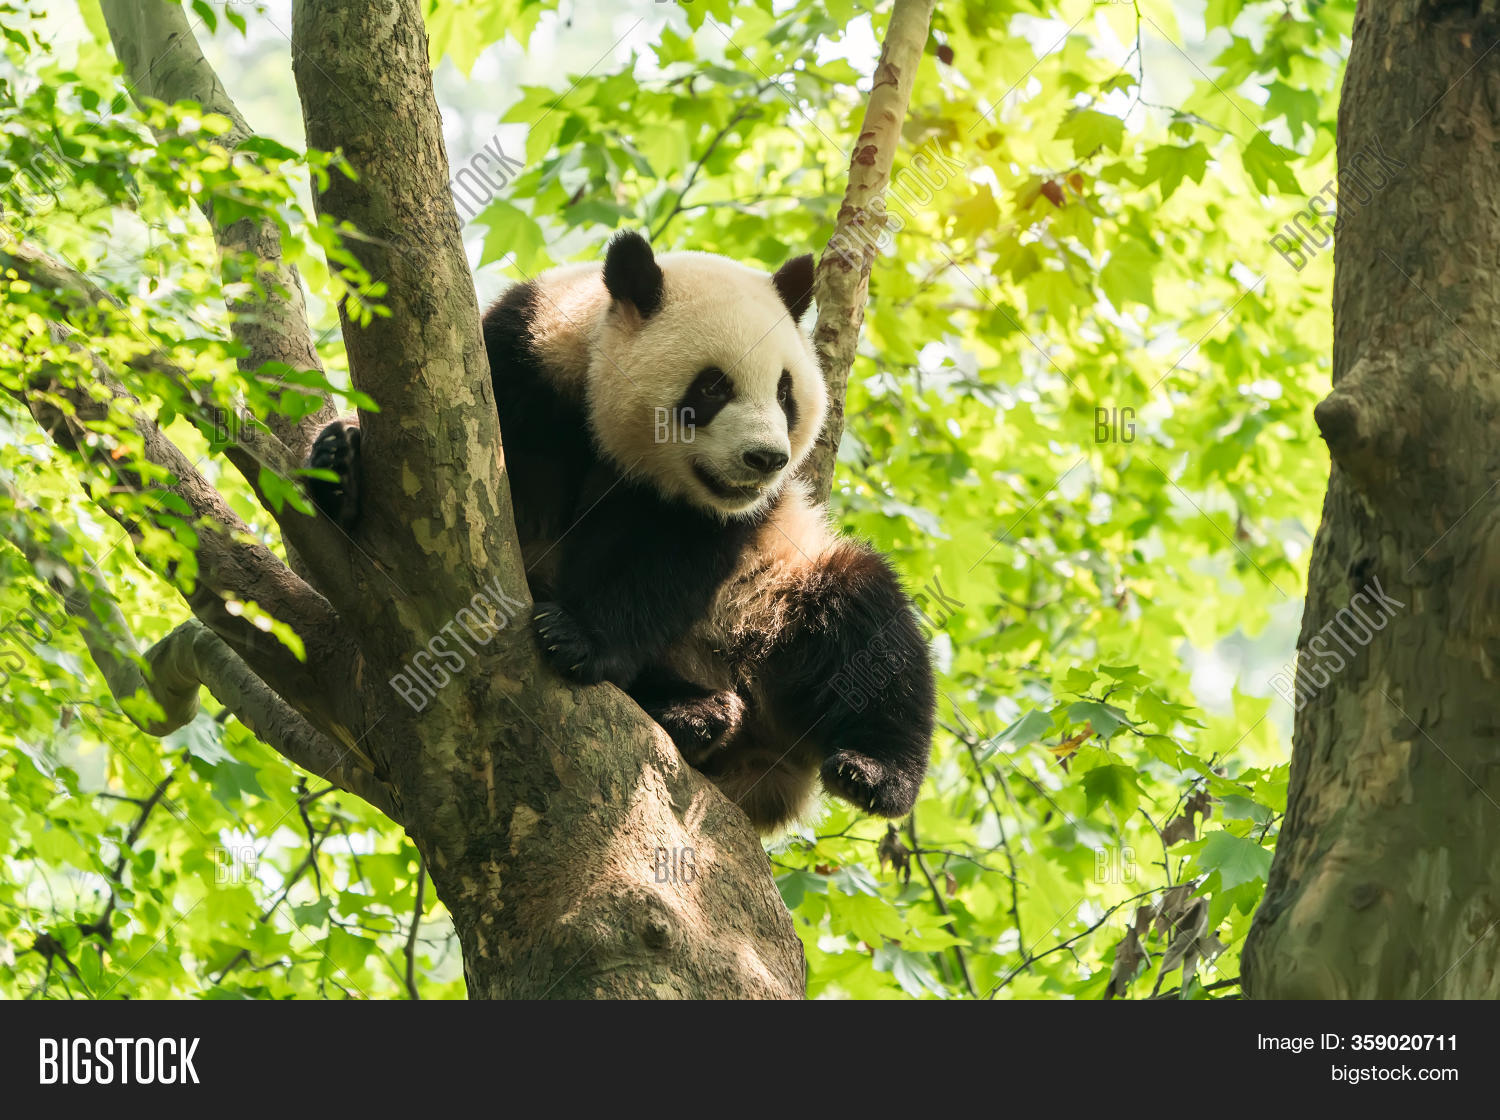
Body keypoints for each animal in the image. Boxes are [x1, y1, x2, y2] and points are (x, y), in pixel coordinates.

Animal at [308, 231, 935, 832]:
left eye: (785, 392)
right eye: (713, 387)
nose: (766, 460)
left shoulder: (730, 517)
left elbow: (661, 564)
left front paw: (578, 636)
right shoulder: (521, 363)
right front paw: (342, 467)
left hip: (774, 590)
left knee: (865, 625)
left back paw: (867, 770)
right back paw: (697, 712)